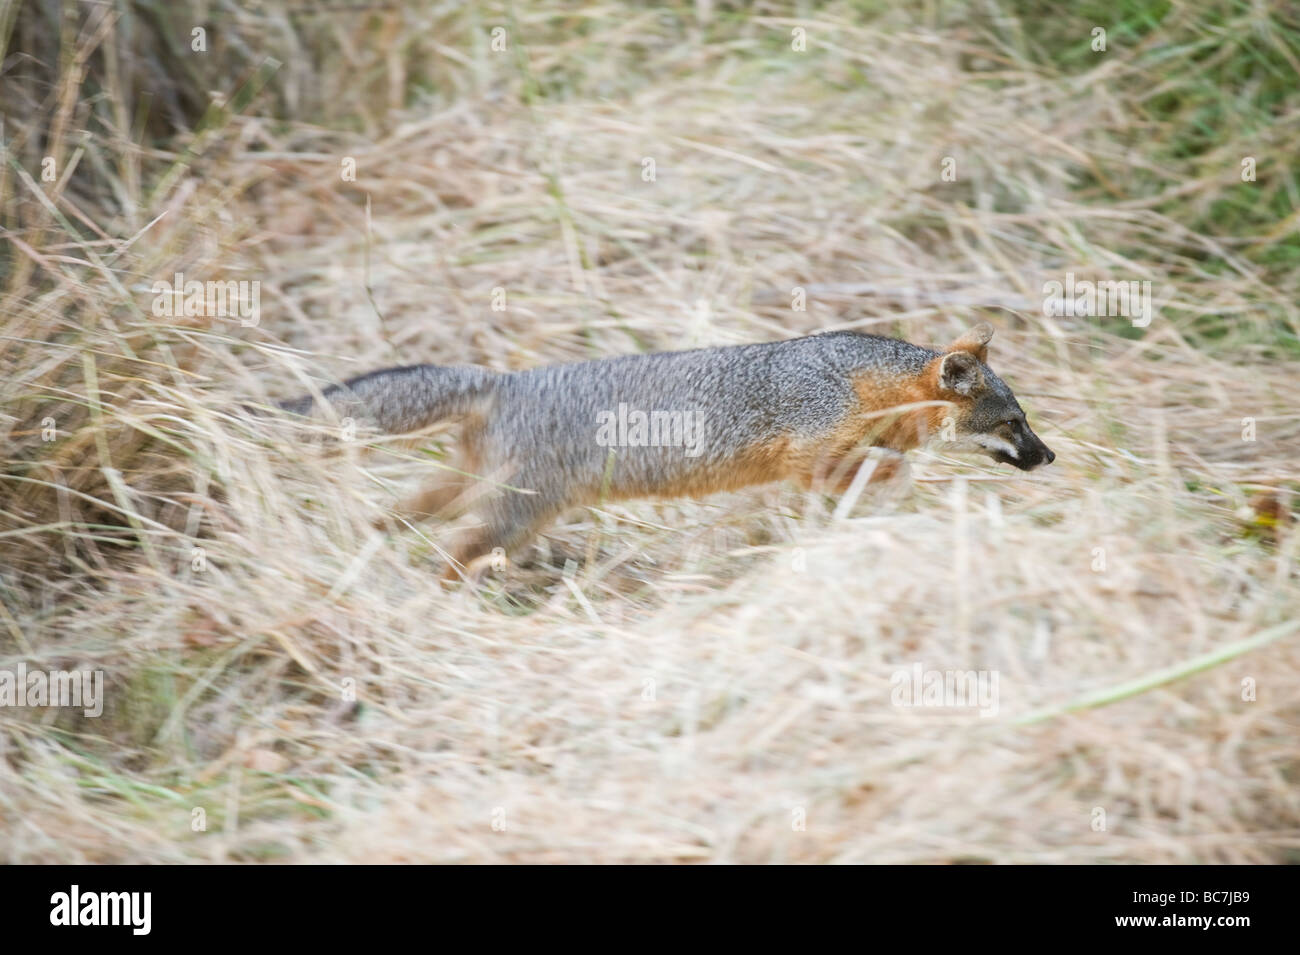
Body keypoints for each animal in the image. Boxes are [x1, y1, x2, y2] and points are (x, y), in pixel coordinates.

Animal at [276, 322, 1054, 580]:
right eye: (1015, 422)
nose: (1048, 458)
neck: (851, 377)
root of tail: (505, 380)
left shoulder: (811, 469)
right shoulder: (809, 454)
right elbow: (886, 469)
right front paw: (897, 487)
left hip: (478, 491)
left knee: (404, 516)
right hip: (515, 512)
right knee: (452, 548)